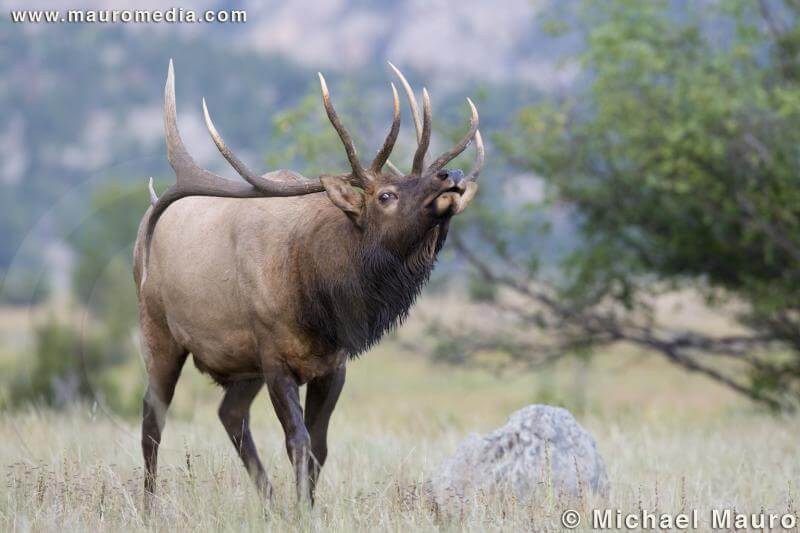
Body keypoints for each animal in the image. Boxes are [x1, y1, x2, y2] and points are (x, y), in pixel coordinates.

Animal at [133, 59, 484, 508]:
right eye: (386, 195)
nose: (450, 174)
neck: (317, 302)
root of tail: (142, 229)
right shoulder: (274, 357)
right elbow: (297, 442)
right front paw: (301, 510)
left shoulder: (332, 365)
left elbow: (320, 447)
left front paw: (305, 508)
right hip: (158, 331)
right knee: (152, 419)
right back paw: (149, 507)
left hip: (243, 366)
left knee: (230, 414)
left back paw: (269, 504)